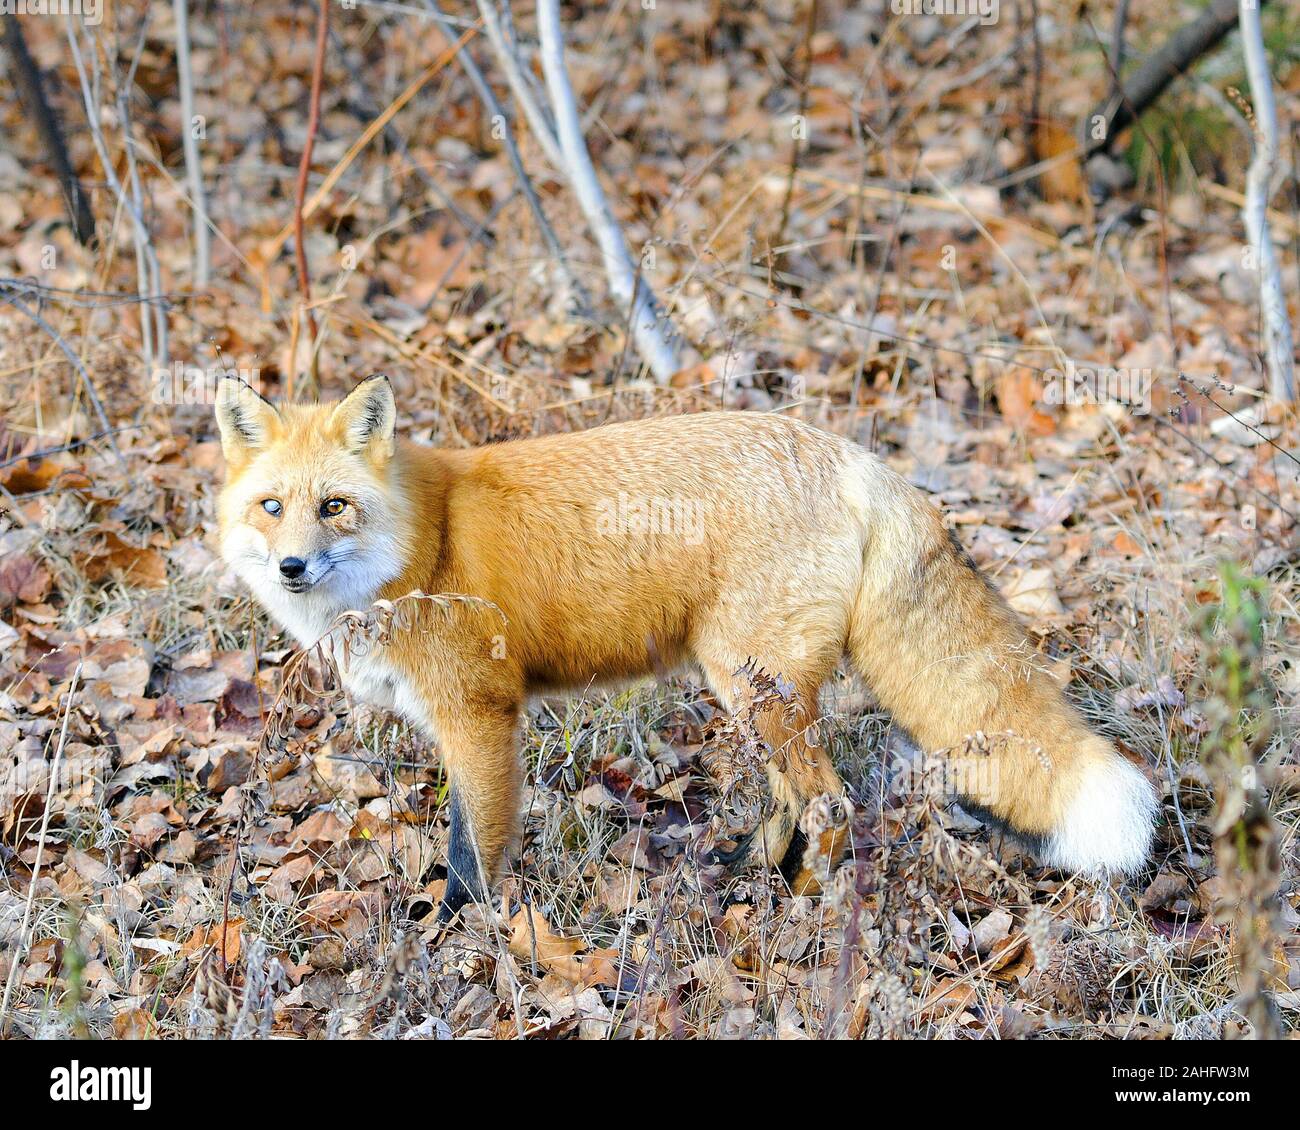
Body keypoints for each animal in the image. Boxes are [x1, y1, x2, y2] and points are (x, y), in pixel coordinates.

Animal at [214, 374, 1158, 920]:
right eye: (273, 508)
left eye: (334, 507)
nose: (293, 567)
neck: (421, 545)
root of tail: (856, 459)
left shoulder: (478, 715)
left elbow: (474, 851)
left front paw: (460, 938)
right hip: (748, 688)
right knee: (793, 799)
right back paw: (749, 875)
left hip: (753, 685)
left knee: (831, 806)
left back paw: (796, 917)